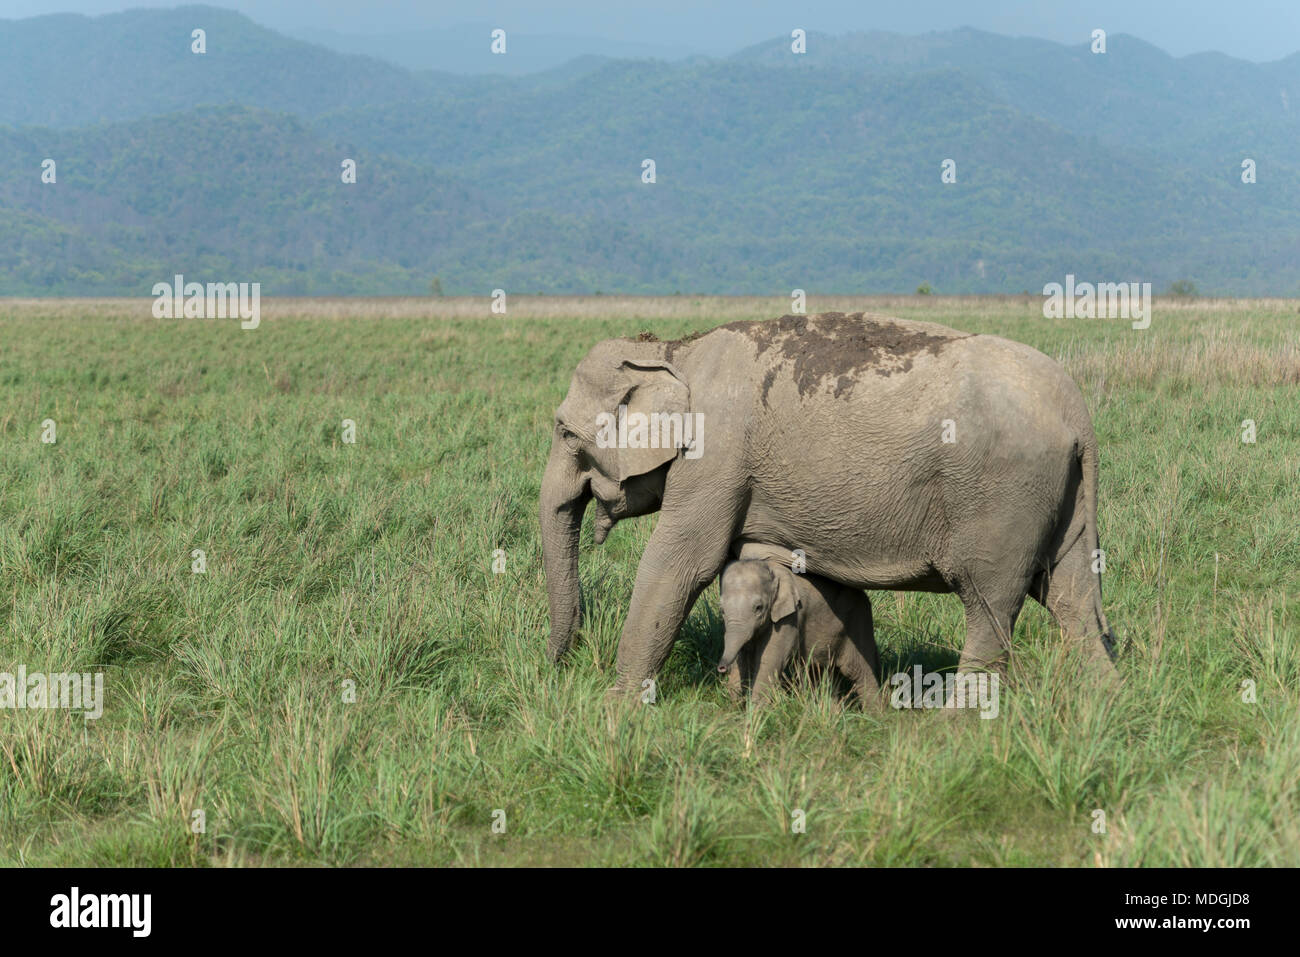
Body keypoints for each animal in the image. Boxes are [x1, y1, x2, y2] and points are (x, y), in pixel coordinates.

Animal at [717, 558, 881, 707]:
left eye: (758, 607)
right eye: (722, 610)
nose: (721, 668)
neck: (771, 570)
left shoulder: (790, 617)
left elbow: (769, 661)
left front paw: (754, 713)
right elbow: (743, 659)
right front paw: (735, 706)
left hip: (859, 623)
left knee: (859, 671)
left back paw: (877, 718)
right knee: (821, 672)